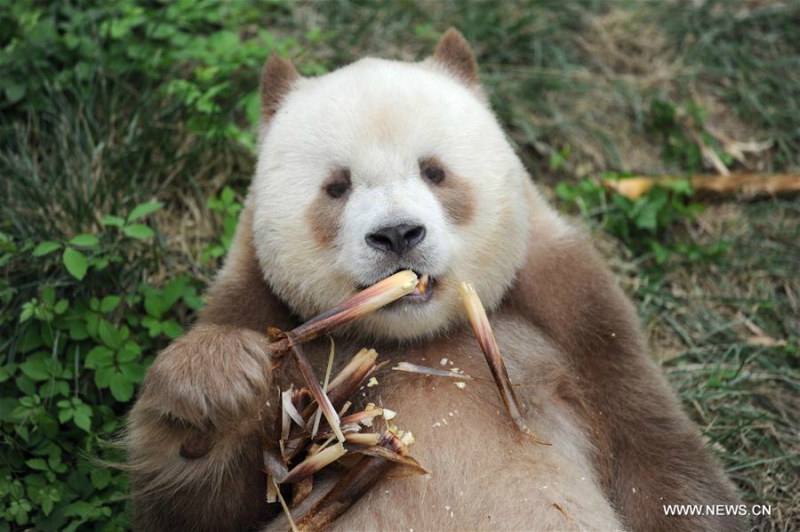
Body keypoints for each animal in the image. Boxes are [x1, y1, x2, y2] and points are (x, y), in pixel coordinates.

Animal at [125, 29, 744, 532]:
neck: (421, 339)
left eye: (435, 171)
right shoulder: (259, 307)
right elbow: (207, 508)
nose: (398, 234)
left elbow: (657, 457)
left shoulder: (577, 316)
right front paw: (214, 385)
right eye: (337, 186)